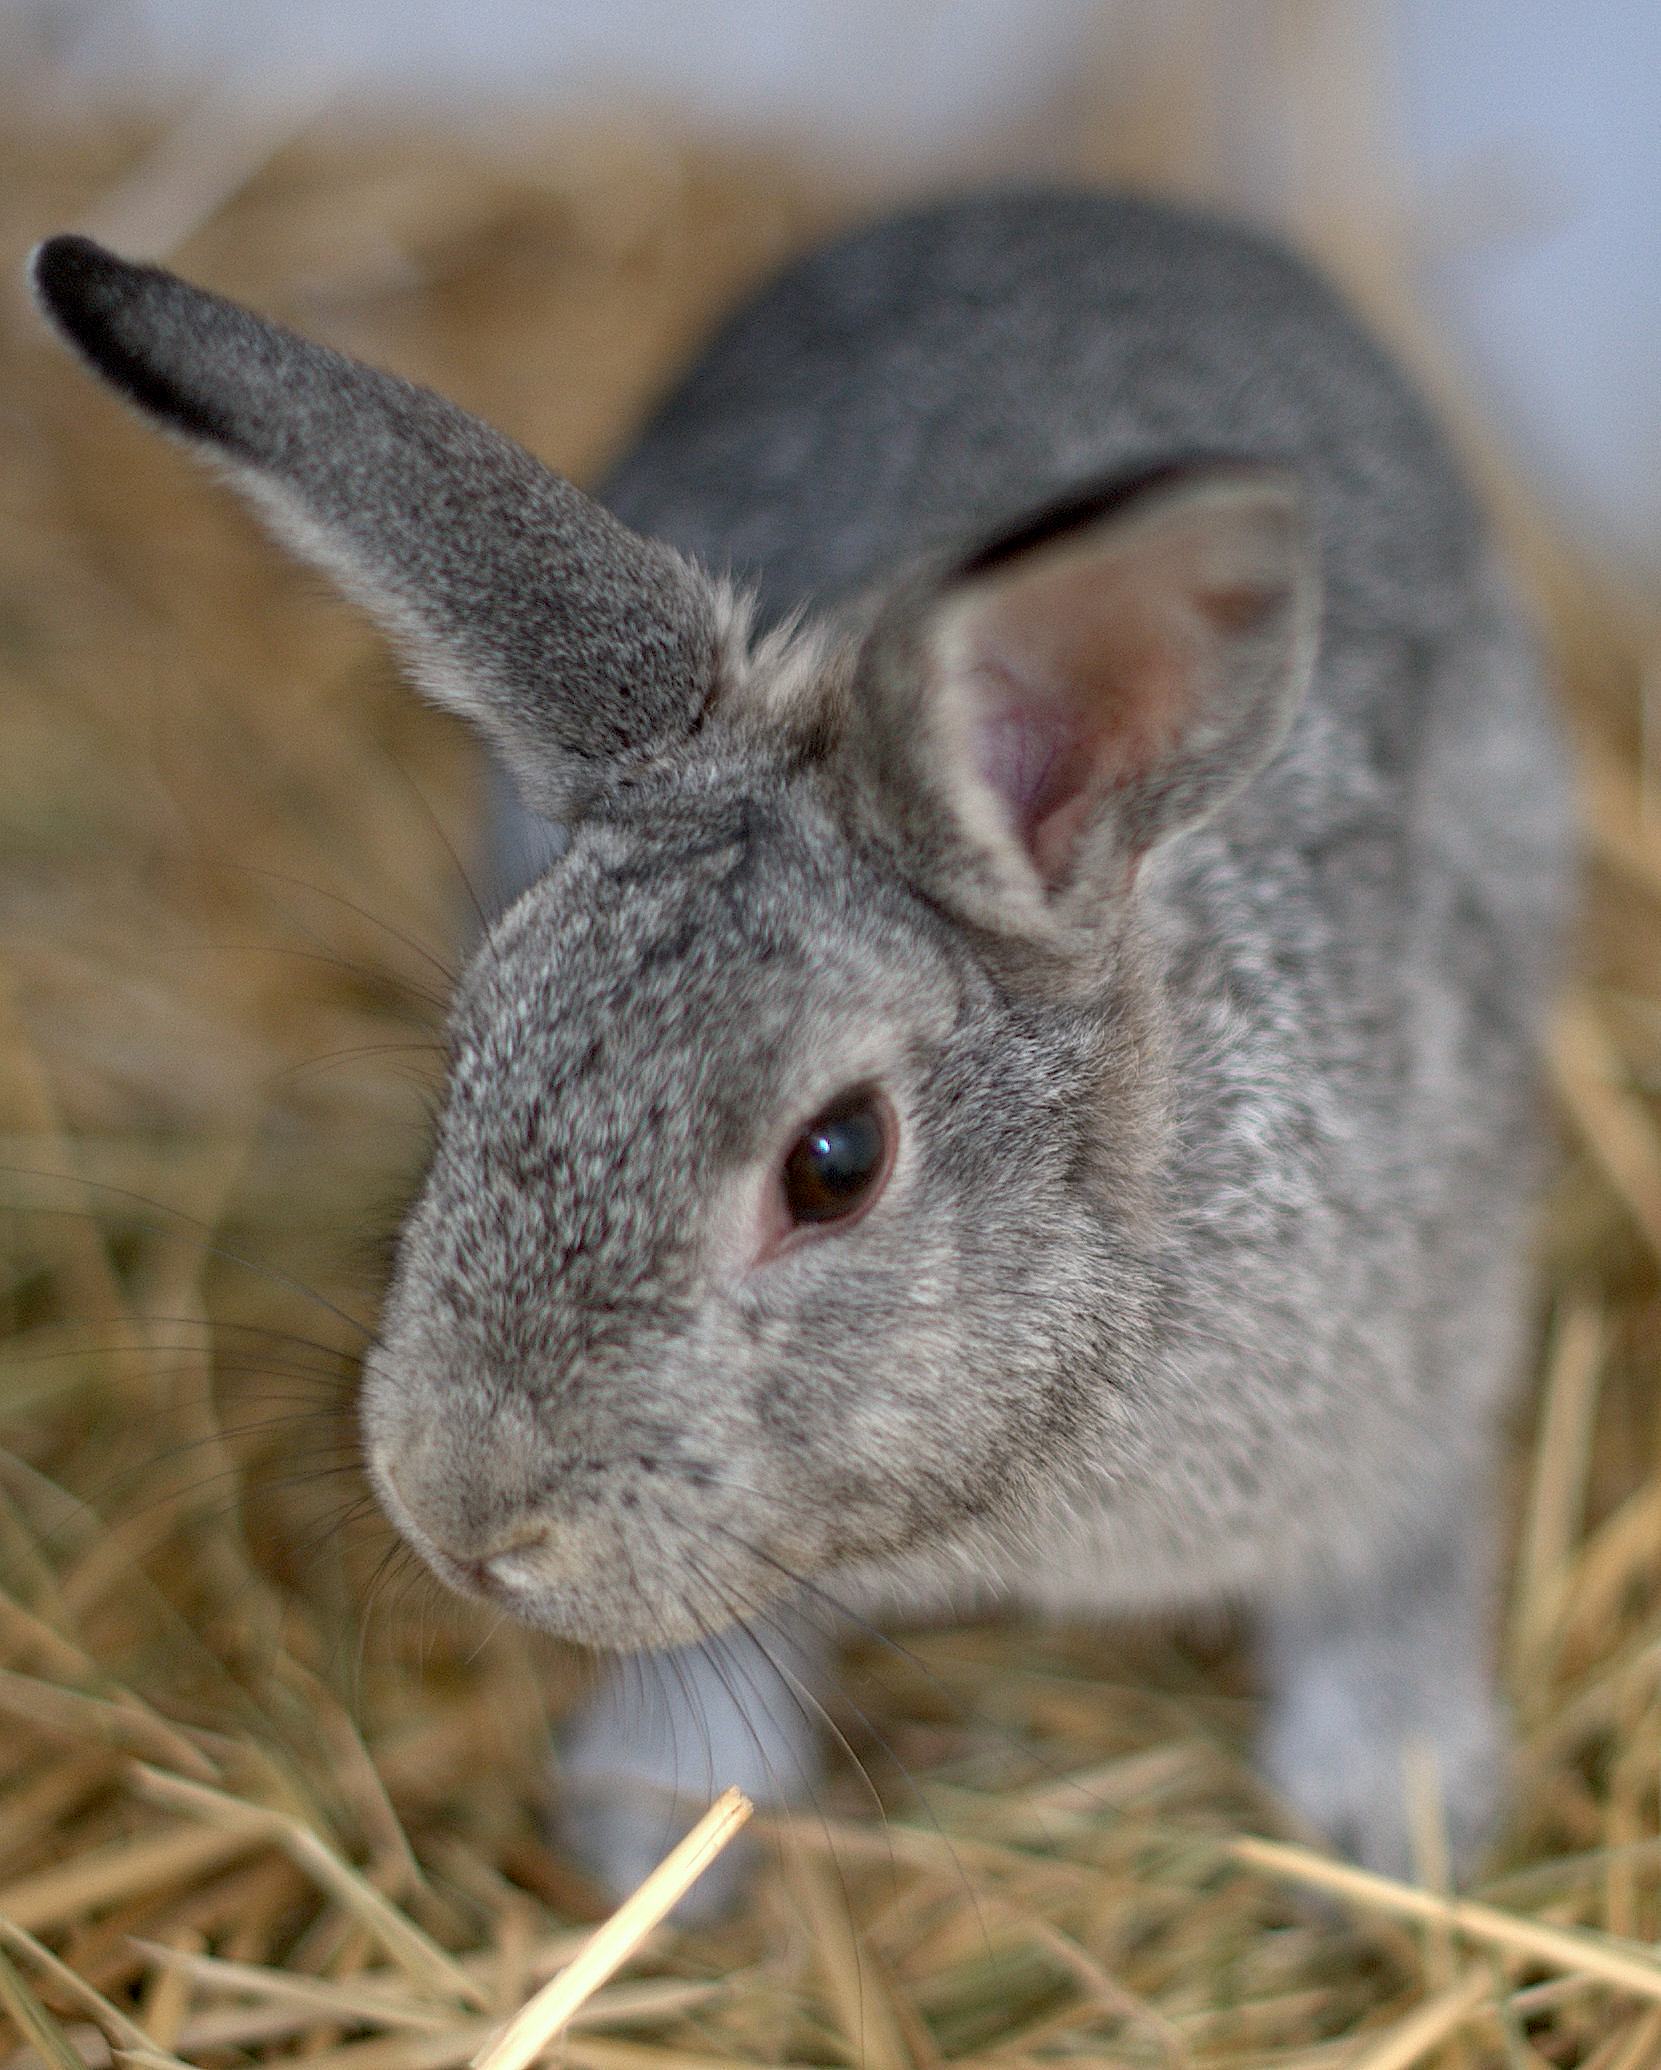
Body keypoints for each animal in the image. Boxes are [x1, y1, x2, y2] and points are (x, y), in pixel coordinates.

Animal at [31, 189, 1574, 1907]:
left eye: (835, 1164)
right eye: (476, 1040)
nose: (461, 1517)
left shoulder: (1428, 1352)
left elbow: (1397, 1549)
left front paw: (1400, 1809)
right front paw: (661, 1827)